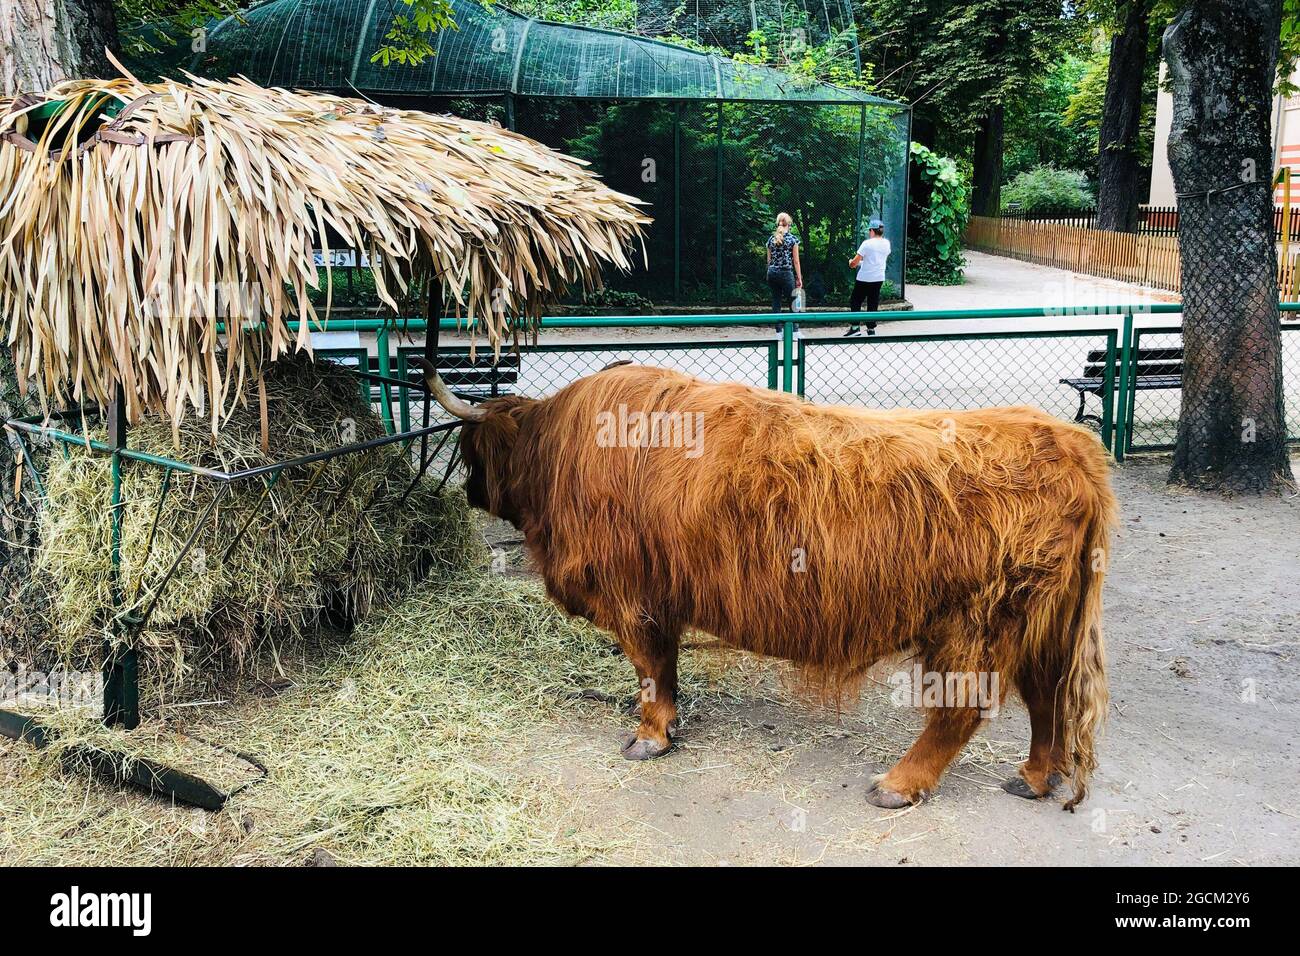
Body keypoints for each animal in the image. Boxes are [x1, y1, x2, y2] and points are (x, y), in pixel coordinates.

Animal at [412, 358, 1117, 810]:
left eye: (470, 451)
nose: (469, 491)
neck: (558, 449)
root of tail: (1071, 442)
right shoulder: (662, 596)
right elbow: (665, 666)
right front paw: (668, 726)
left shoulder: (633, 594)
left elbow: (648, 667)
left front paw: (649, 736)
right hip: (1042, 618)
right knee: (1048, 697)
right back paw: (1034, 777)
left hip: (979, 622)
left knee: (964, 707)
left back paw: (897, 783)